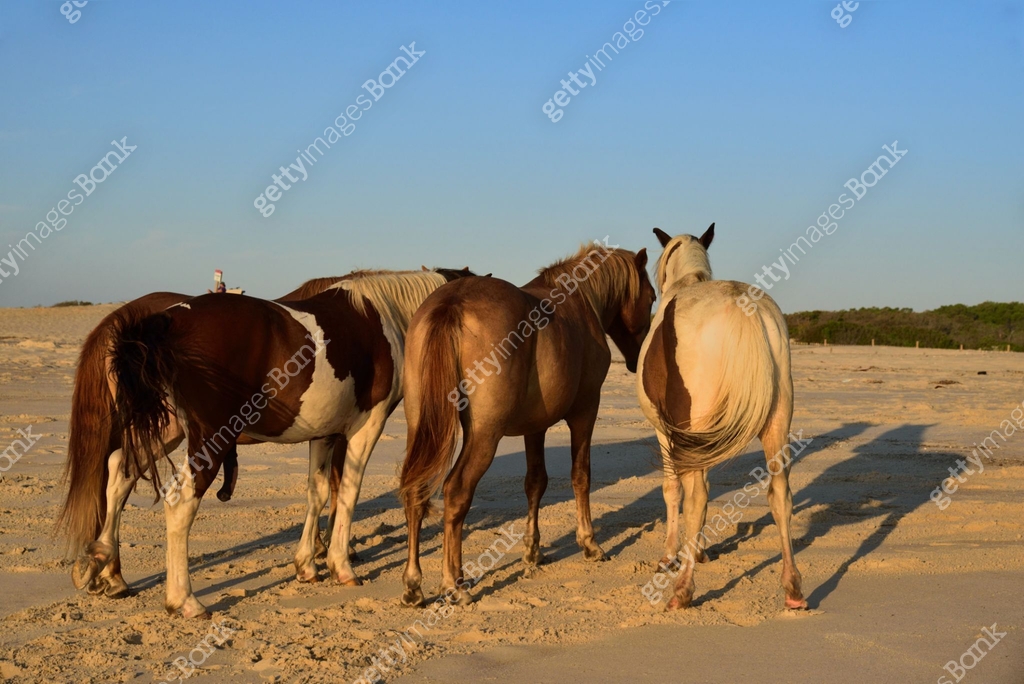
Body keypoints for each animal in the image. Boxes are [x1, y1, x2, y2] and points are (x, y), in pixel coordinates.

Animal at [107, 268, 473, 617]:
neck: (382, 316)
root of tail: (167, 323)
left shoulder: (324, 434)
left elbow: (318, 493)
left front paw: (307, 565)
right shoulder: (367, 425)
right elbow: (349, 492)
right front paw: (341, 565)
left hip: (168, 432)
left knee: (119, 472)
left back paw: (107, 573)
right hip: (210, 437)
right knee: (179, 500)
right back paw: (184, 600)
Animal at [398, 242, 656, 607]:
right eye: (651, 297)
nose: (637, 360)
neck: (579, 302)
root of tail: (453, 302)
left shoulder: (536, 426)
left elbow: (535, 482)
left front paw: (532, 551)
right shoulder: (585, 411)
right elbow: (581, 476)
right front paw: (589, 543)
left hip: (422, 429)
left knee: (416, 492)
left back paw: (413, 584)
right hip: (484, 435)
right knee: (456, 491)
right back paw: (454, 584)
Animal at [636, 224, 807, 611]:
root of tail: (744, 306)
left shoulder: (665, 431)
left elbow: (675, 490)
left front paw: (671, 555)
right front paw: (697, 551)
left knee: (696, 498)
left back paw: (682, 591)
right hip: (776, 425)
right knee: (780, 494)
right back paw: (792, 590)